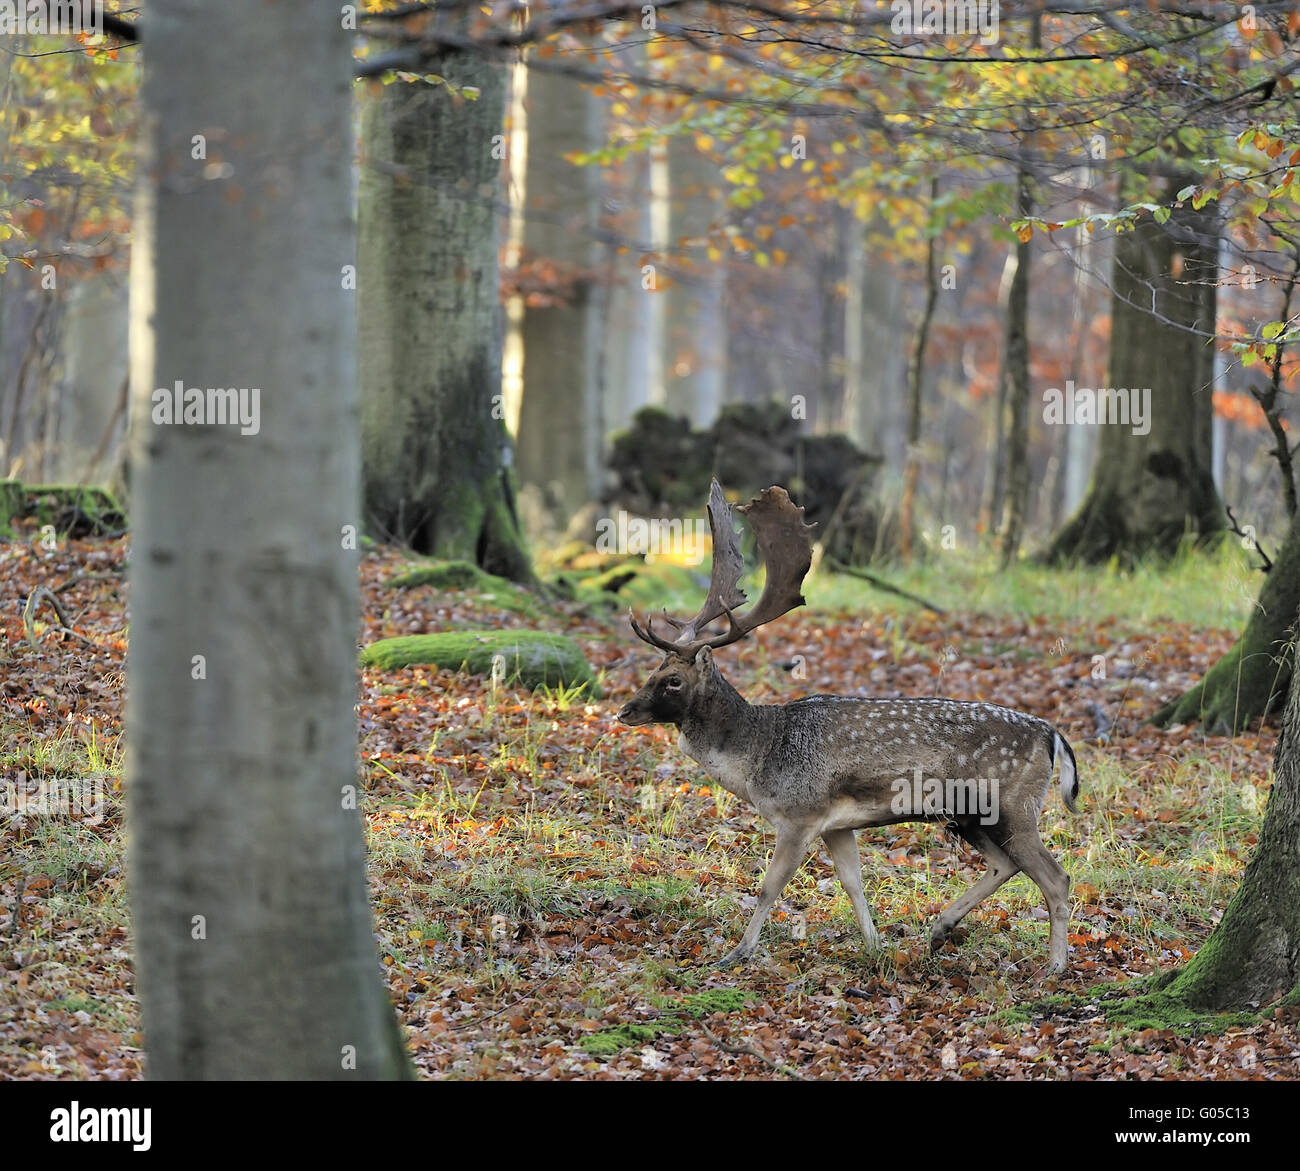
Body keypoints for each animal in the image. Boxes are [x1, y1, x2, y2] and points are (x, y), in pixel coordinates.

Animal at [617, 480, 1080, 973]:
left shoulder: (799, 815)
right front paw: (875, 947)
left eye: (673, 680)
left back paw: (1054, 967)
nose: (624, 711)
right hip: (968, 815)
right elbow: (853, 882)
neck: (758, 756)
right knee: (1005, 865)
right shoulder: (835, 824)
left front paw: (736, 954)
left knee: (1056, 876)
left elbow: (768, 887)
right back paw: (938, 931)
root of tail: (1052, 735)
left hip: (1011, 806)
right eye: (654, 670)